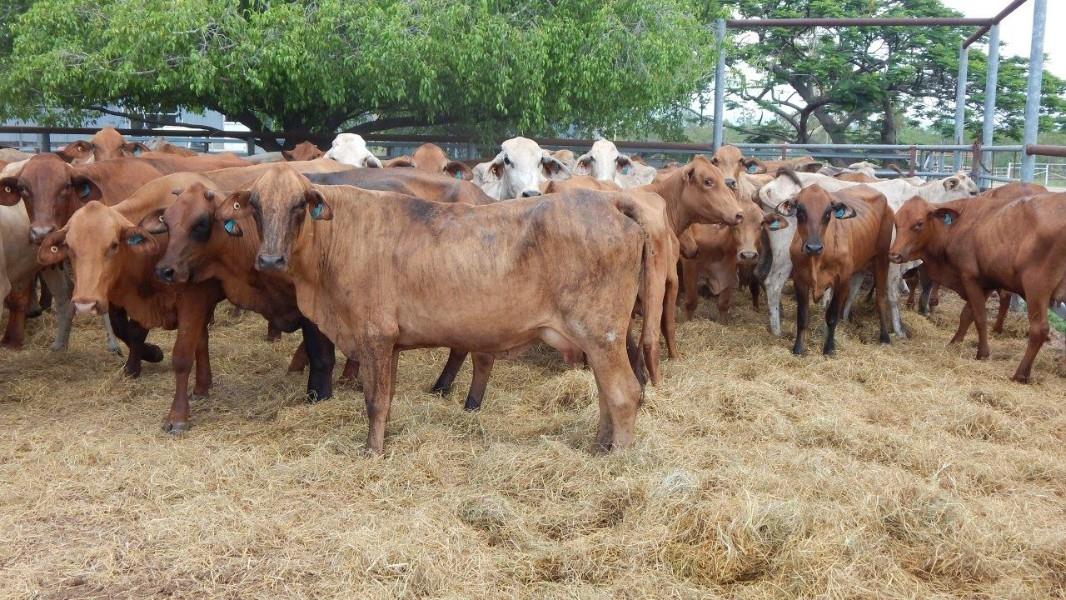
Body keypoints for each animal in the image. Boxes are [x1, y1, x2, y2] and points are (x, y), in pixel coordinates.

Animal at [37, 175, 225, 432]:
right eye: (70, 248)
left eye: (113, 245)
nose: (85, 304)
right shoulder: (122, 300)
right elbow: (128, 332)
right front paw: (141, 360)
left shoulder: (193, 301)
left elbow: (182, 356)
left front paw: (177, 416)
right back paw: (202, 386)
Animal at [220, 164, 662, 453]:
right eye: (255, 205)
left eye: (299, 205)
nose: (270, 260)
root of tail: (609, 201)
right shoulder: (390, 342)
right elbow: (385, 397)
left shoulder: (374, 333)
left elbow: (374, 400)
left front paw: (372, 452)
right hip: (598, 341)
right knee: (606, 393)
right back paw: (600, 445)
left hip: (602, 334)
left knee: (624, 393)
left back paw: (618, 458)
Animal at [776, 184, 894, 355]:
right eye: (800, 211)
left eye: (827, 213)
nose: (813, 247)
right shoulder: (799, 279)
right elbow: (802, 316)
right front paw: (798, 348)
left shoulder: (842, 281)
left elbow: (832, 316)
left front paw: (829, 349)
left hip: (882, 257)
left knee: (880, 298)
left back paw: (884, 337)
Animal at [889, 191, 1066, 382]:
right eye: (896, 222)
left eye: (919, 223)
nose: (894, 255)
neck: (956, 226)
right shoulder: (985, 282)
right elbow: (967, 314)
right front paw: (955, 342)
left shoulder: (969, 277)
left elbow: (980, 317)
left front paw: (982, 353)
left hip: (1036, 289)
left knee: (1039, 330)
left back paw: (1021, 373)